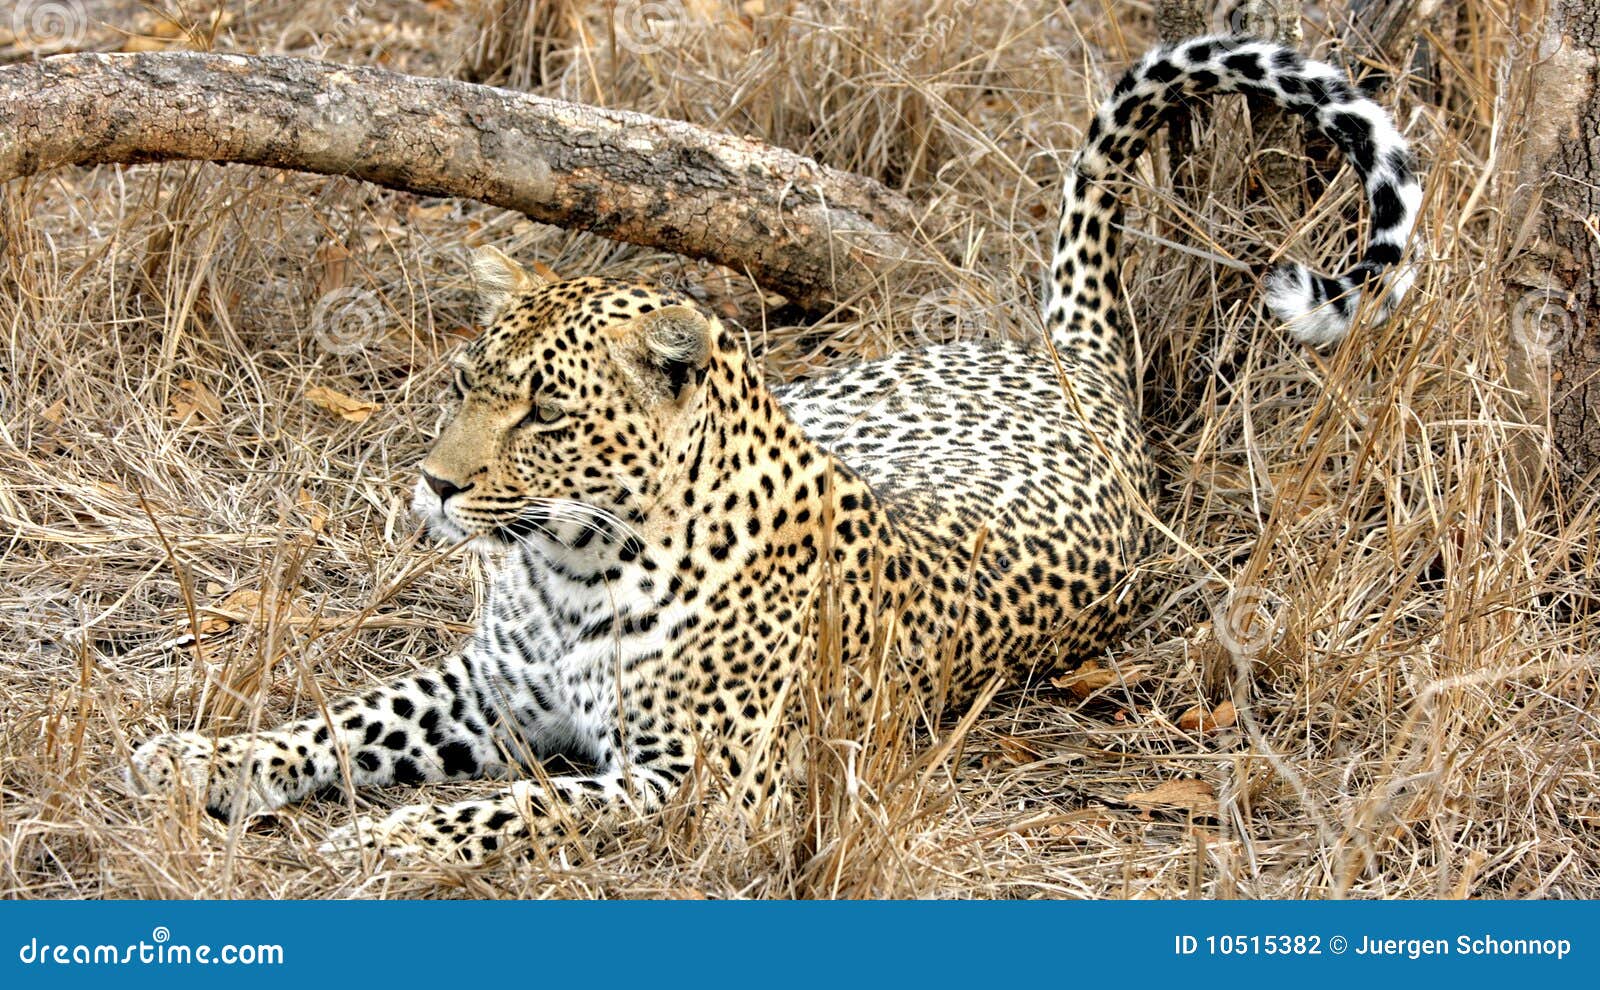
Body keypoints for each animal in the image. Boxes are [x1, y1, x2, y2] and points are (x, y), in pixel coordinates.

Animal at [127, 35, 1421, 864]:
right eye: (463, 388)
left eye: (544, 415)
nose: (434, 488)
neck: (570, 565)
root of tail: (1081, 380)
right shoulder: (487, 684)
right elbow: (343, 720)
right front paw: (207, 757)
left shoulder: (706, 780)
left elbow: (526, 809)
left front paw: (391, 835)